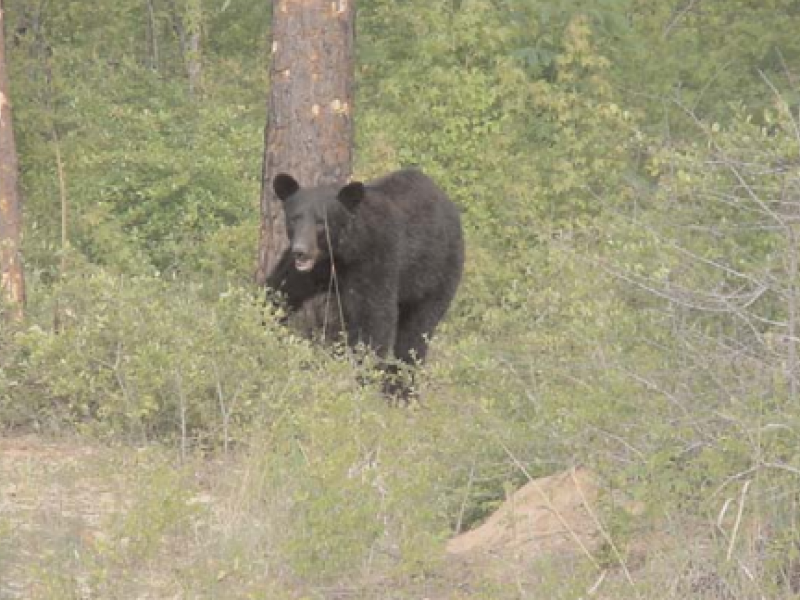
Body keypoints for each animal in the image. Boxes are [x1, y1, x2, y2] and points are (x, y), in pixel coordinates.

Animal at [266, 168, 464, 397]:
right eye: (294, 219)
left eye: (321, 222)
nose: (301, 251)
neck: (340, 255)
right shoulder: (311, 269)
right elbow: (281, 290)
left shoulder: (376, 261)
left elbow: (374, 319)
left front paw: (364, 380)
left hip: (436, 276)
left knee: (415, 334)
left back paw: (400, 388)